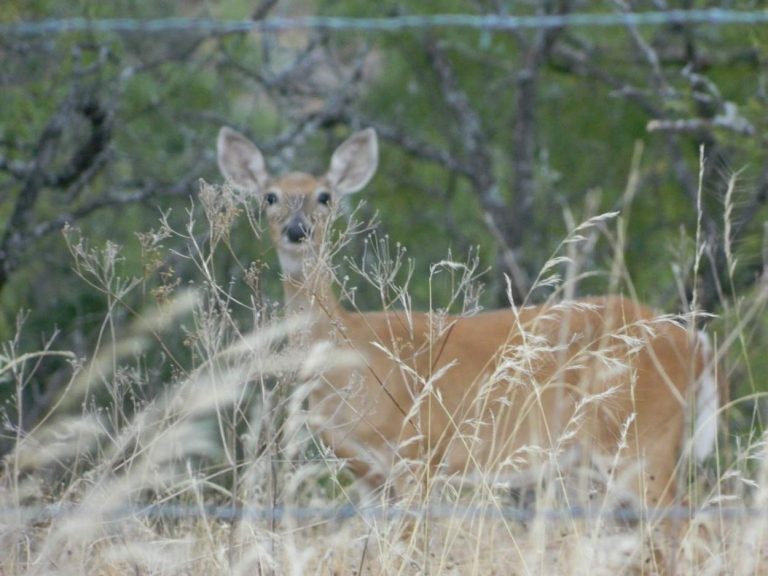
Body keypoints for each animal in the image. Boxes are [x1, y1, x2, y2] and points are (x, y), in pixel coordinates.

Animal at [216, 125, 720, 518]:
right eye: (270, 196)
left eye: (325, 196)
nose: (297, 230)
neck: (346, 352)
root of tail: (696, 343)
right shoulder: (364, 472)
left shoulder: (418, 451)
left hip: (640, 437)